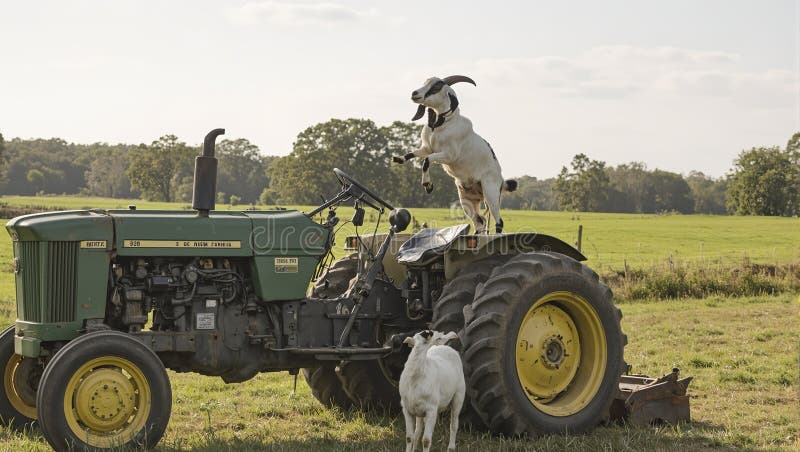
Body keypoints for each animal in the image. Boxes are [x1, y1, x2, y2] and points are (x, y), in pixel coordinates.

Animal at [393, 75, 517, 233]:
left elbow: (426, 160)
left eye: (436, 86)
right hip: (467, 200)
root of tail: (502, 180)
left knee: (498, 221)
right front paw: (398, 158)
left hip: (491, 194)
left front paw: (428, 185)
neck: (440, 126)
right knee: (479, 221)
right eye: (425, 83)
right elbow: (414, 153)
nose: (414, 93)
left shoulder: (448, 155)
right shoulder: (427, 147)